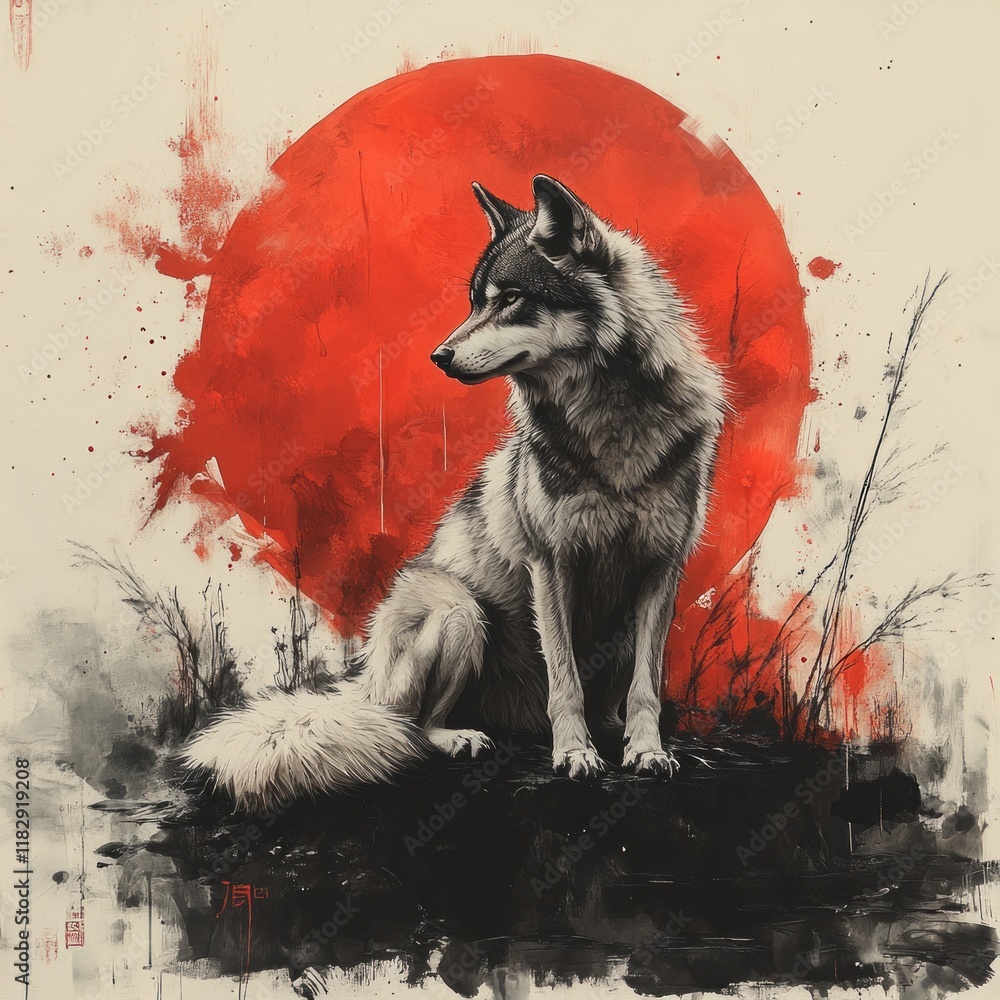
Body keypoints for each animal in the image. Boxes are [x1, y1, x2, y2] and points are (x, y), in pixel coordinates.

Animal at [182, 174, 726, 808]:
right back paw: (461, 736)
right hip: (461, 611)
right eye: (474, 301)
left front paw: (647, 752)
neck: (612, 425)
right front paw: (575, 754)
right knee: (411, 728)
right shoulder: (552, 565)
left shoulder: (662, 568)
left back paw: (605, 728)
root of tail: (365, 684)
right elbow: (564, 680)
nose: (438, 357)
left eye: (510, 298)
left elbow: (647, 685)